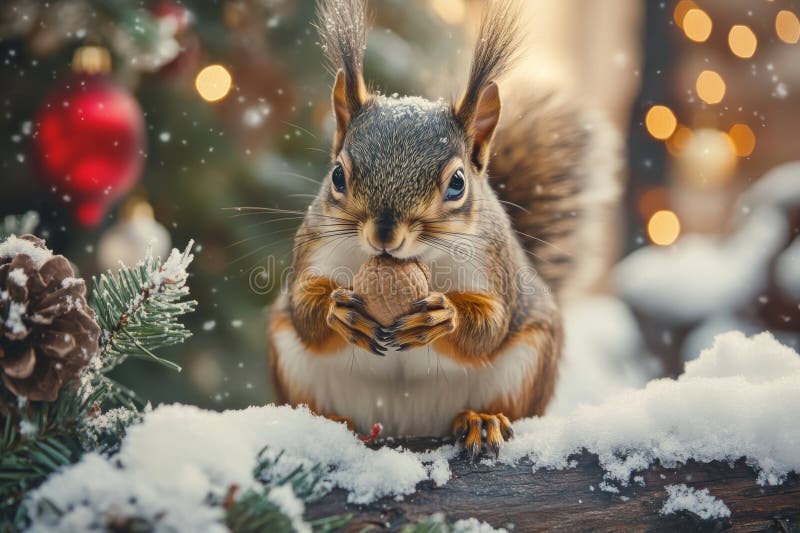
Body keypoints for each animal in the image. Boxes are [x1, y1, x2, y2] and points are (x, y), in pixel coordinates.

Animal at [268, 0, 619, 458]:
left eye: (457, 183)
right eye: (338, 176)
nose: (385, 236)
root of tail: (405, 427)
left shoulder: (494, 267)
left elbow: (490, 325)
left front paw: (443, 314)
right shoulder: (313, 251)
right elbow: (303, 306)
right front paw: (338, 308)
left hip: (528, 363)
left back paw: (482, 420)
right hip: (290, 361)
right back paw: (328, 423)